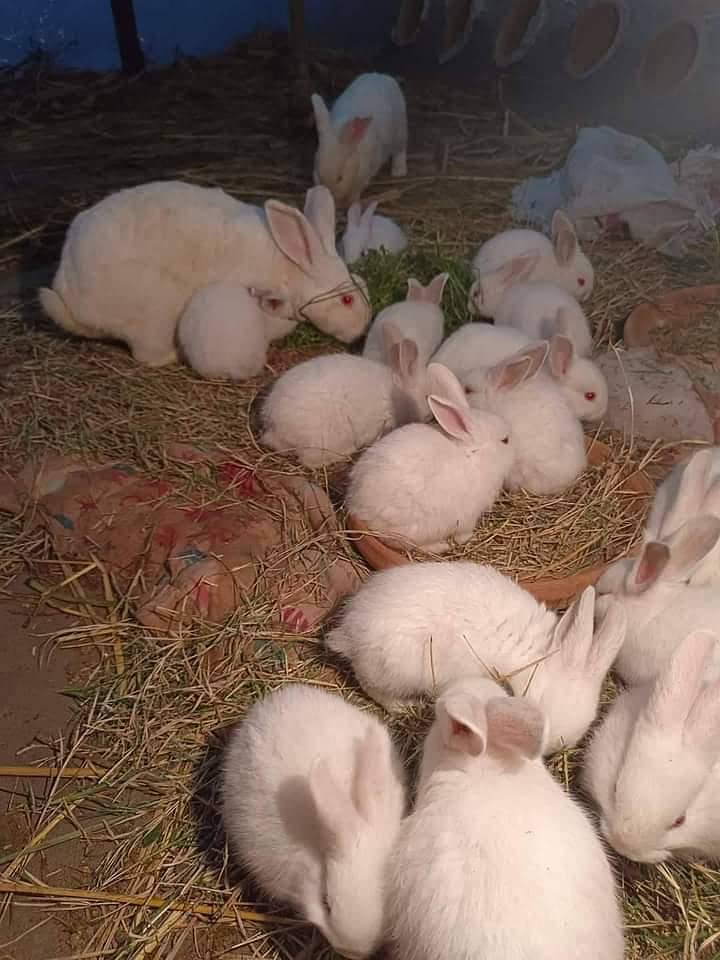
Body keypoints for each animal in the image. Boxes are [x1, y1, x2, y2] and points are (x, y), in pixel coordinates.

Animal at [39, 182, 370, 367]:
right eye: (347, 301)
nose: (361, 331)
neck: (288, 266)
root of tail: (72, 301)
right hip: (155, 314)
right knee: (147, 355)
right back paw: (175, 356)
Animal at [260, 328, 432, 468]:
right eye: (426, 396)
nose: (430, 416)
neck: (398, 391)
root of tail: (273, 424)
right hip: (325, 436)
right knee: (309, 460)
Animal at [311, 73, 408, 208]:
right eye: (318, 174)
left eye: (340, 178)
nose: (333, 200)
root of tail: (382, 76)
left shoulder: (367, 172)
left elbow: (357, 190)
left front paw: (352, 201)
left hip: (400, 130)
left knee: (400, 150)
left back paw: (399, 172)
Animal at [344, 363, 514, 553]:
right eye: (505, 440)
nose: (515, 450)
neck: (473, 455)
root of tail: (358, 506)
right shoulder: (469, 516)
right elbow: (464, 532)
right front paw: (467, 539)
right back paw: (440, 546)